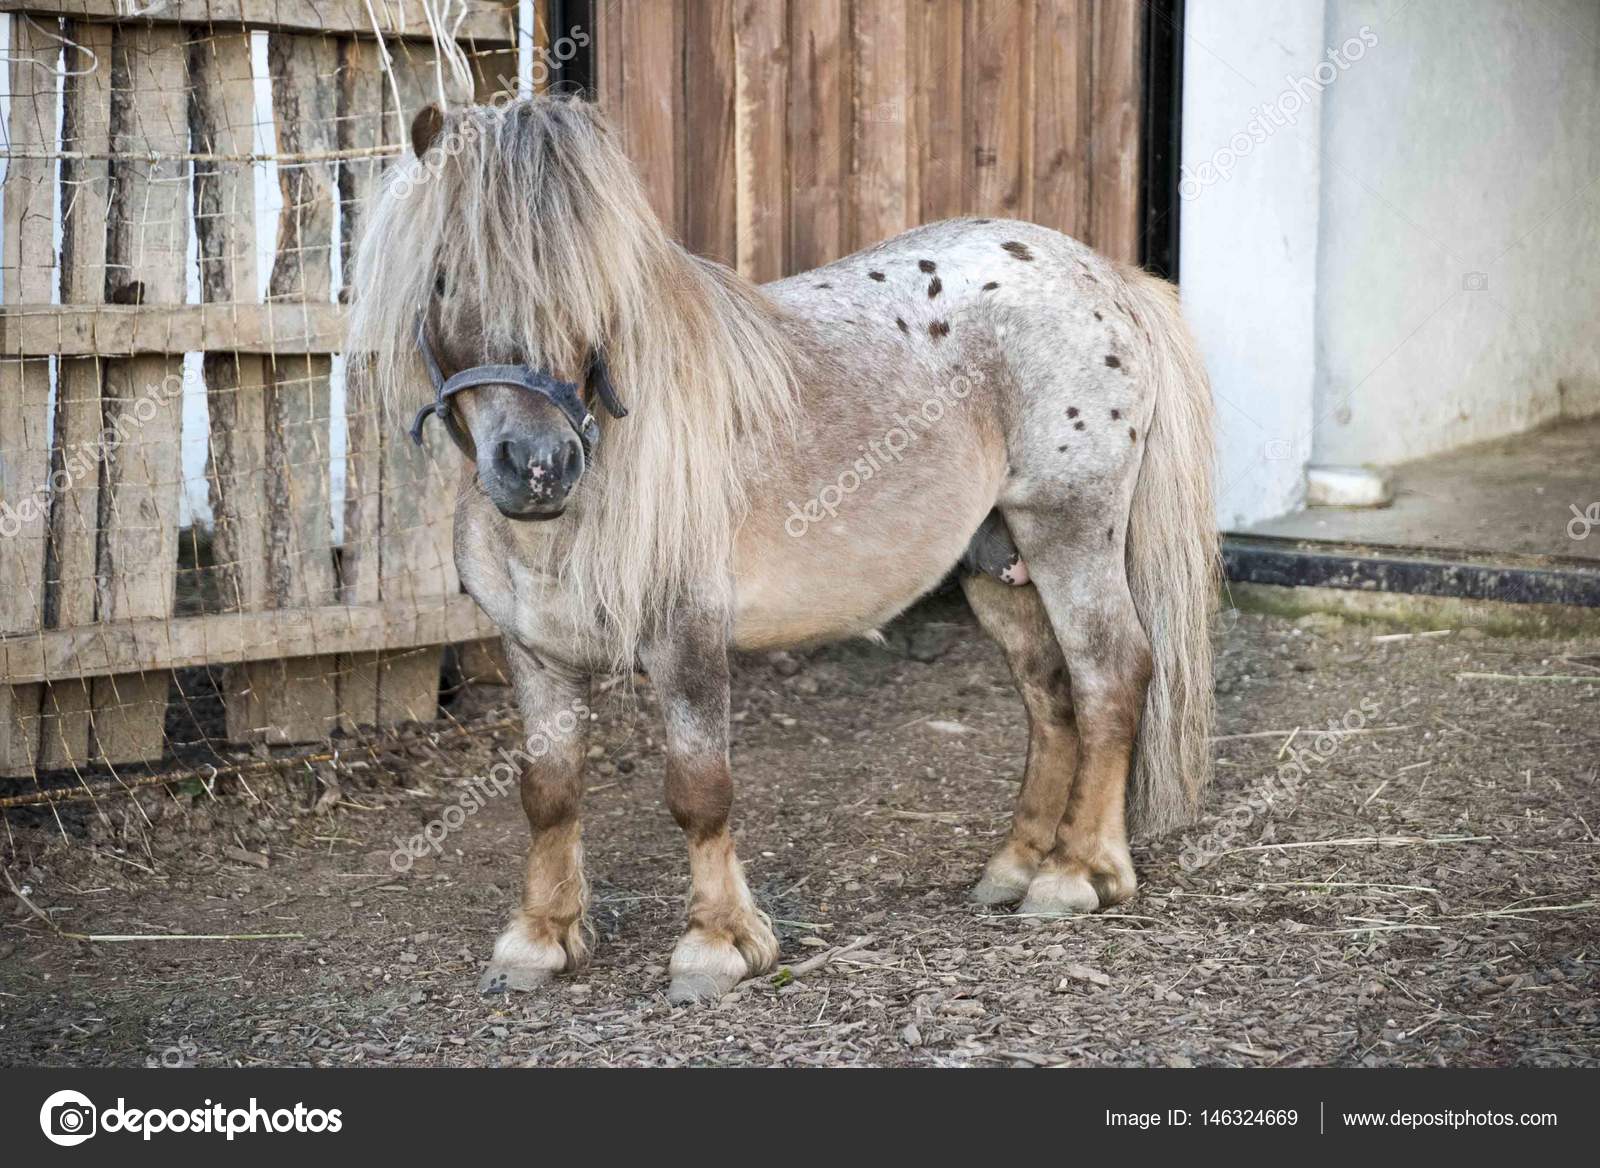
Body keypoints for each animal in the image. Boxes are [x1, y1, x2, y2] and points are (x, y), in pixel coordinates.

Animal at [348, 96, 1217, 1005]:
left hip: (1068, 531)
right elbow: (548, 791)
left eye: (593, 290)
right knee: (1050, 696)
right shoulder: (535, 651)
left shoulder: (688, 639)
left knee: (1111, 675)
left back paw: (1076, 875)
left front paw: (718, 945)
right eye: (444, 278)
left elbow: (699, 789)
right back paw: (1022, 866)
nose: (539, 466)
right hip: (998, 564)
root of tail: (1106, 275)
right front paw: (541, 938)